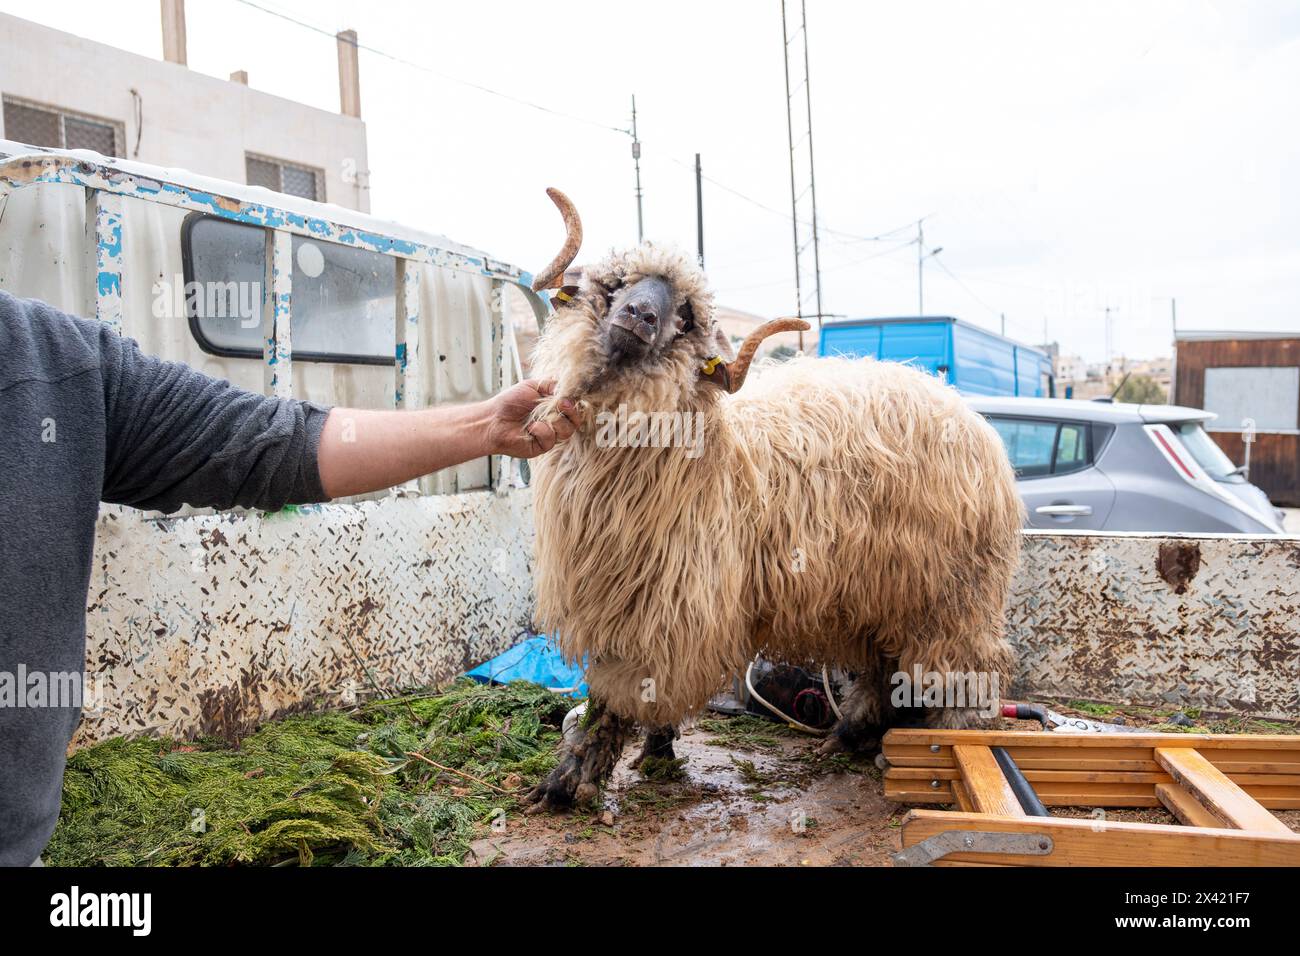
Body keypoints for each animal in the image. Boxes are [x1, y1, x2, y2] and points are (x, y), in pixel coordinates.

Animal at [521, 189, 1023, 811]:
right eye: (617, 283)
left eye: (686, 316)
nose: (639, 315)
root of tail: (971, 417)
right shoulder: (630, 600)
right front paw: (635, 757)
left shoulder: (663, 605)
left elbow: (617, 697)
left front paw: (573, 780)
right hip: (883, 587)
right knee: (883, 667)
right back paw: (852, 735)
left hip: (955, 591)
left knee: (968, 668)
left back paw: (950, 745)